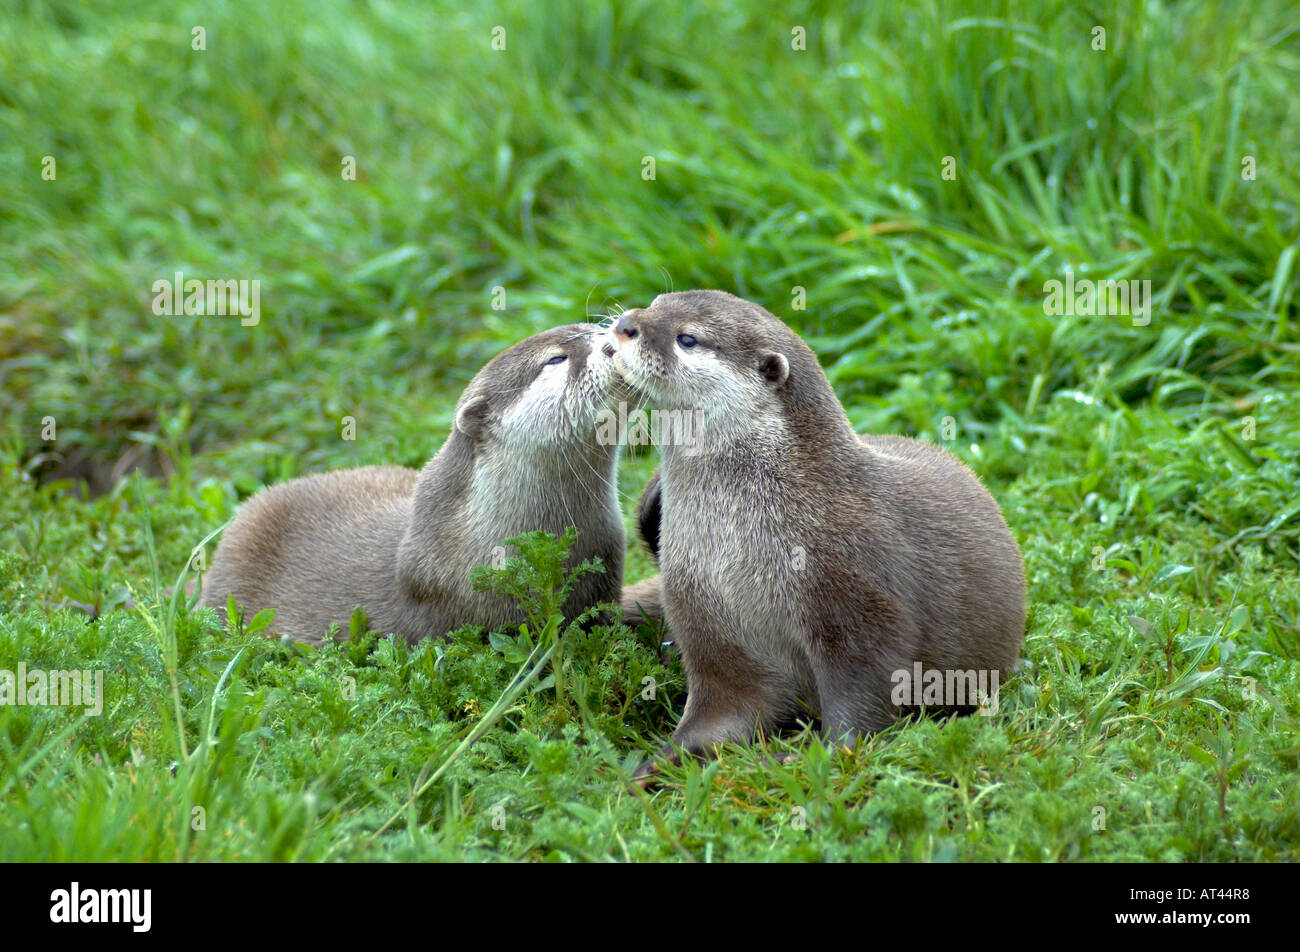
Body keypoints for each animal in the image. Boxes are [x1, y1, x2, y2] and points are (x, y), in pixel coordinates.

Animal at [608, 291, 1026, 772]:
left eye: (688, 338)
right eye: (656, 301)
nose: (625, 324)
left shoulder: (857, 602)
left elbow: (863, 693)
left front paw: (815, 756)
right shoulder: (705, 616)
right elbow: (721, 705)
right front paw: (657, 765)